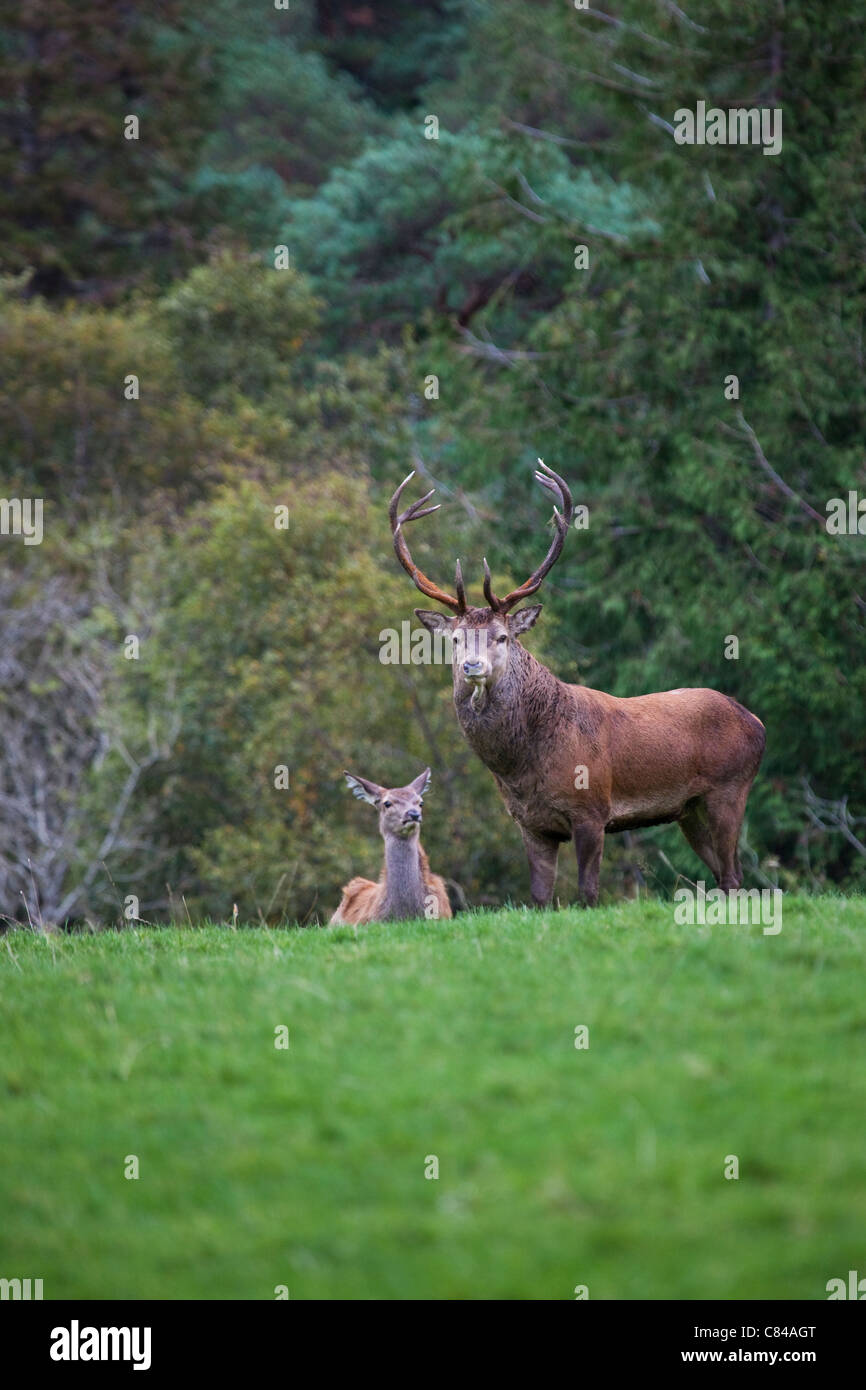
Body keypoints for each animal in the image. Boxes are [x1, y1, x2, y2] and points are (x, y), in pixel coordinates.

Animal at [389, 461, 766, 908]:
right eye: (456, 639)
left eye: (503, 636)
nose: (471, 666)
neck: (523, 767)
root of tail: (757, 722)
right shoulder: (530, 823)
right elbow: (538, 897)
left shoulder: (592, 809)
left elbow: (588, 893)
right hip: (689, 809)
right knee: (726, 874)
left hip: (730, 789)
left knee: (732, 874)